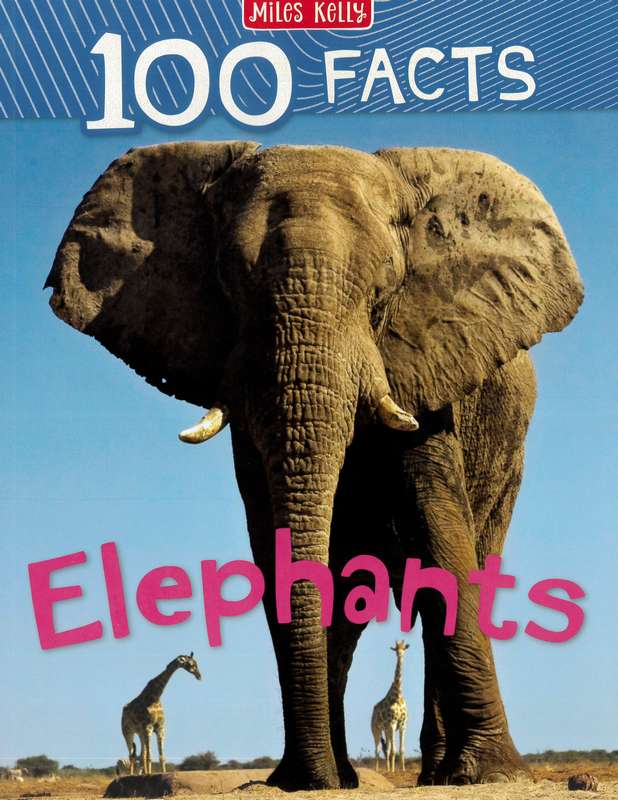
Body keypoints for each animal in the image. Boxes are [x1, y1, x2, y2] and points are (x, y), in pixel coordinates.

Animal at [45, 141, 583, 790]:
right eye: (228, 284)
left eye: (383, 290)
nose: (315, 778)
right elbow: (275, 547)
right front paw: (302, 780)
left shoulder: (429, 367)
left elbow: (438, 531)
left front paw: (490, 775)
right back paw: (356, 771)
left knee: (462, 565)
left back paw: (438, 774)